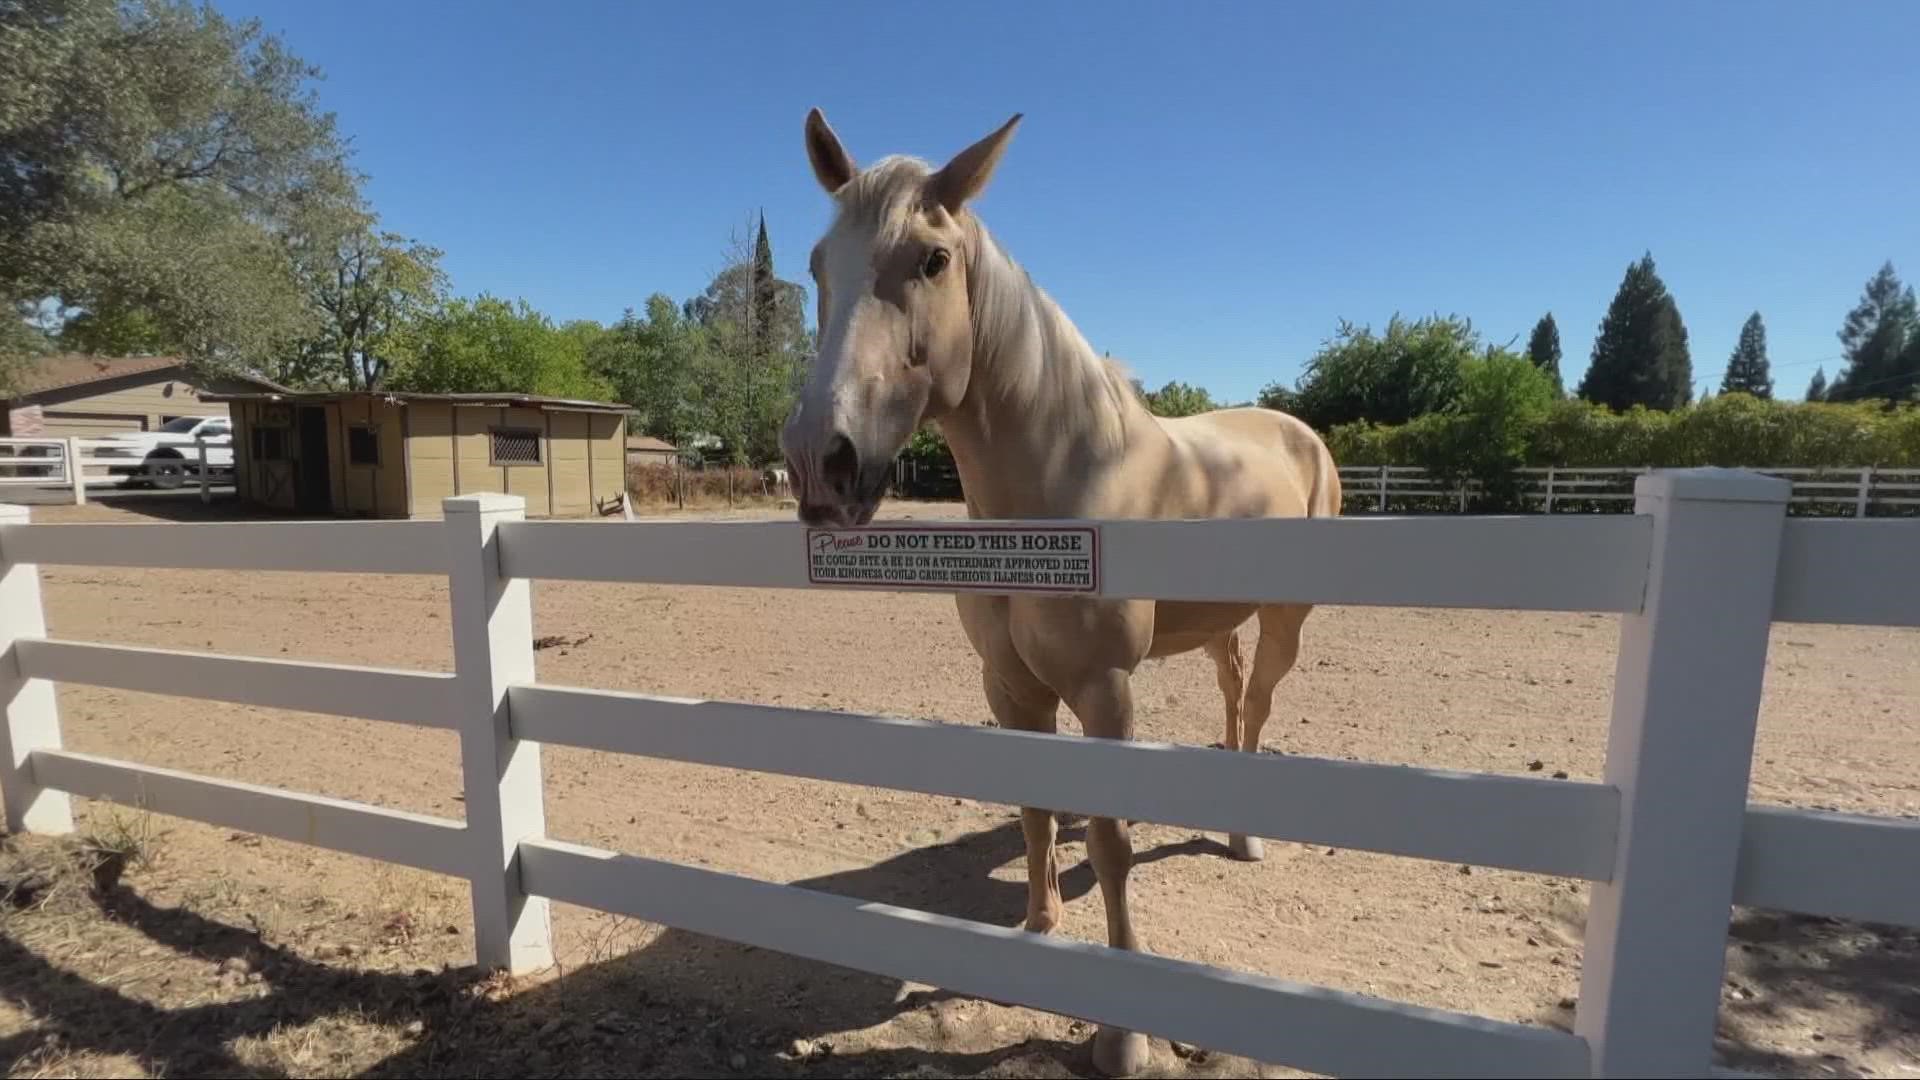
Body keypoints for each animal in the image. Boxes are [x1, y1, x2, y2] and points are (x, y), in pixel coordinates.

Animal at [778, 108, 1341, 1076]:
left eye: (932, 259)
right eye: (818, 264)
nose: (823, 460)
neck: (1063, 482)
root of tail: (1296, 430)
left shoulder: (1103, 690)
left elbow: (1113, 845)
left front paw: (1125, 1035)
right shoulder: (1010, 687)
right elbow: (1037, 810)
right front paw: (1038, 934)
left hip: (1283, 622)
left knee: (1261, 704)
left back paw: (1243, 837)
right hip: (1218, 625)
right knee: (1233, 695)